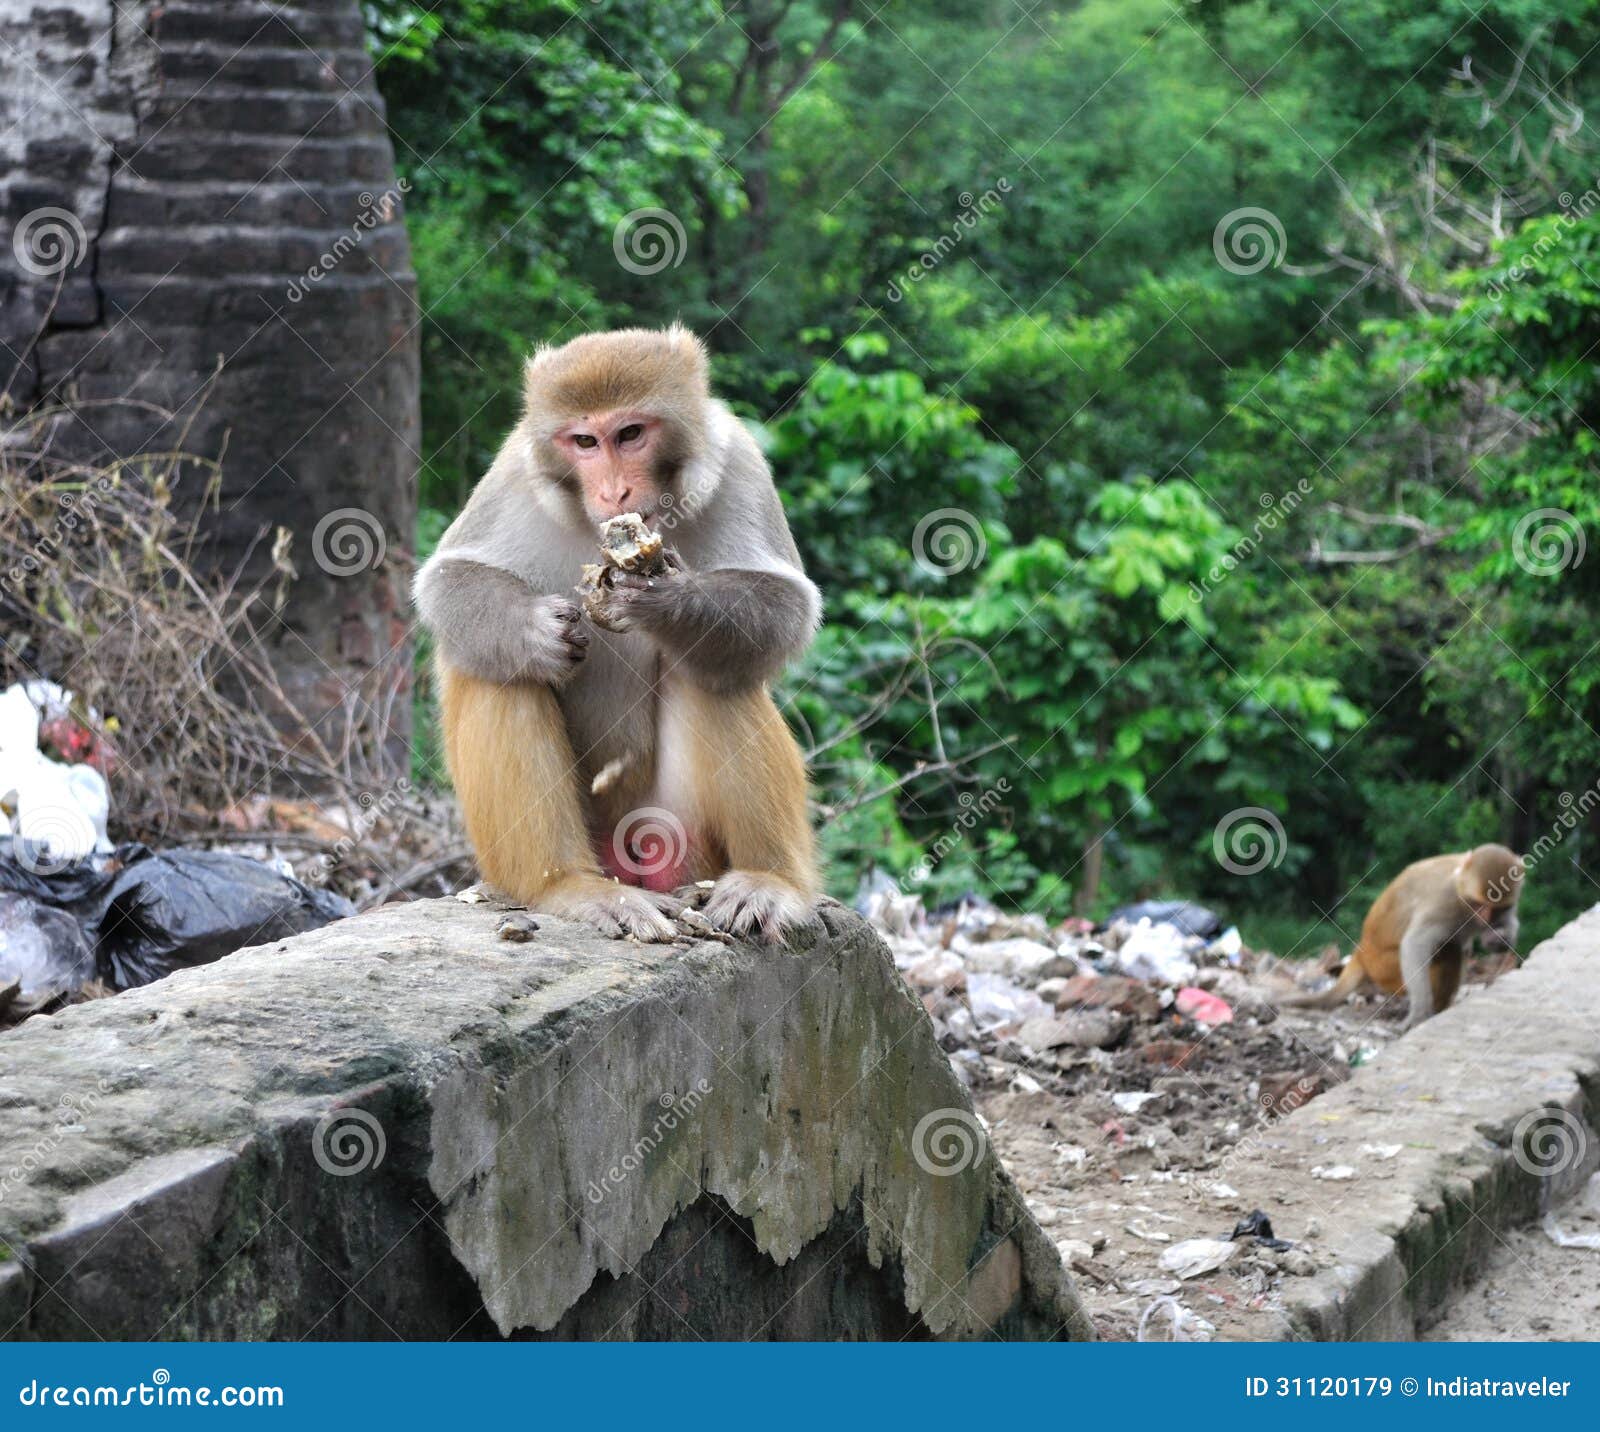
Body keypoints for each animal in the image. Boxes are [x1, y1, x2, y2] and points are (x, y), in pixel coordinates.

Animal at [413, 325, 821, 943]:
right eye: (584, 441)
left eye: (630, 435)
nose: (614, 494)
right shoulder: (516, 470)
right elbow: (449, 580)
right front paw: (535, 631)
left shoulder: (736, 458)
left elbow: (787, 604)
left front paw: (664, 600)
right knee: (500, 668)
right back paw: (570, 888)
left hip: (682, 837)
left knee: (712, 670)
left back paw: (770, 881)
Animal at [1286, 844, 1524, 1028]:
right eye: (1480, 905)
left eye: (1498, 908)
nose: (1487, 919)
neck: (1460, 883)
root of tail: (1363, 952)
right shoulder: (1446, 900)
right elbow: (1415, 944)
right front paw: (1419, 1012)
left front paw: (1502, 937)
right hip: (1385, 969)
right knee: (1448, 949)